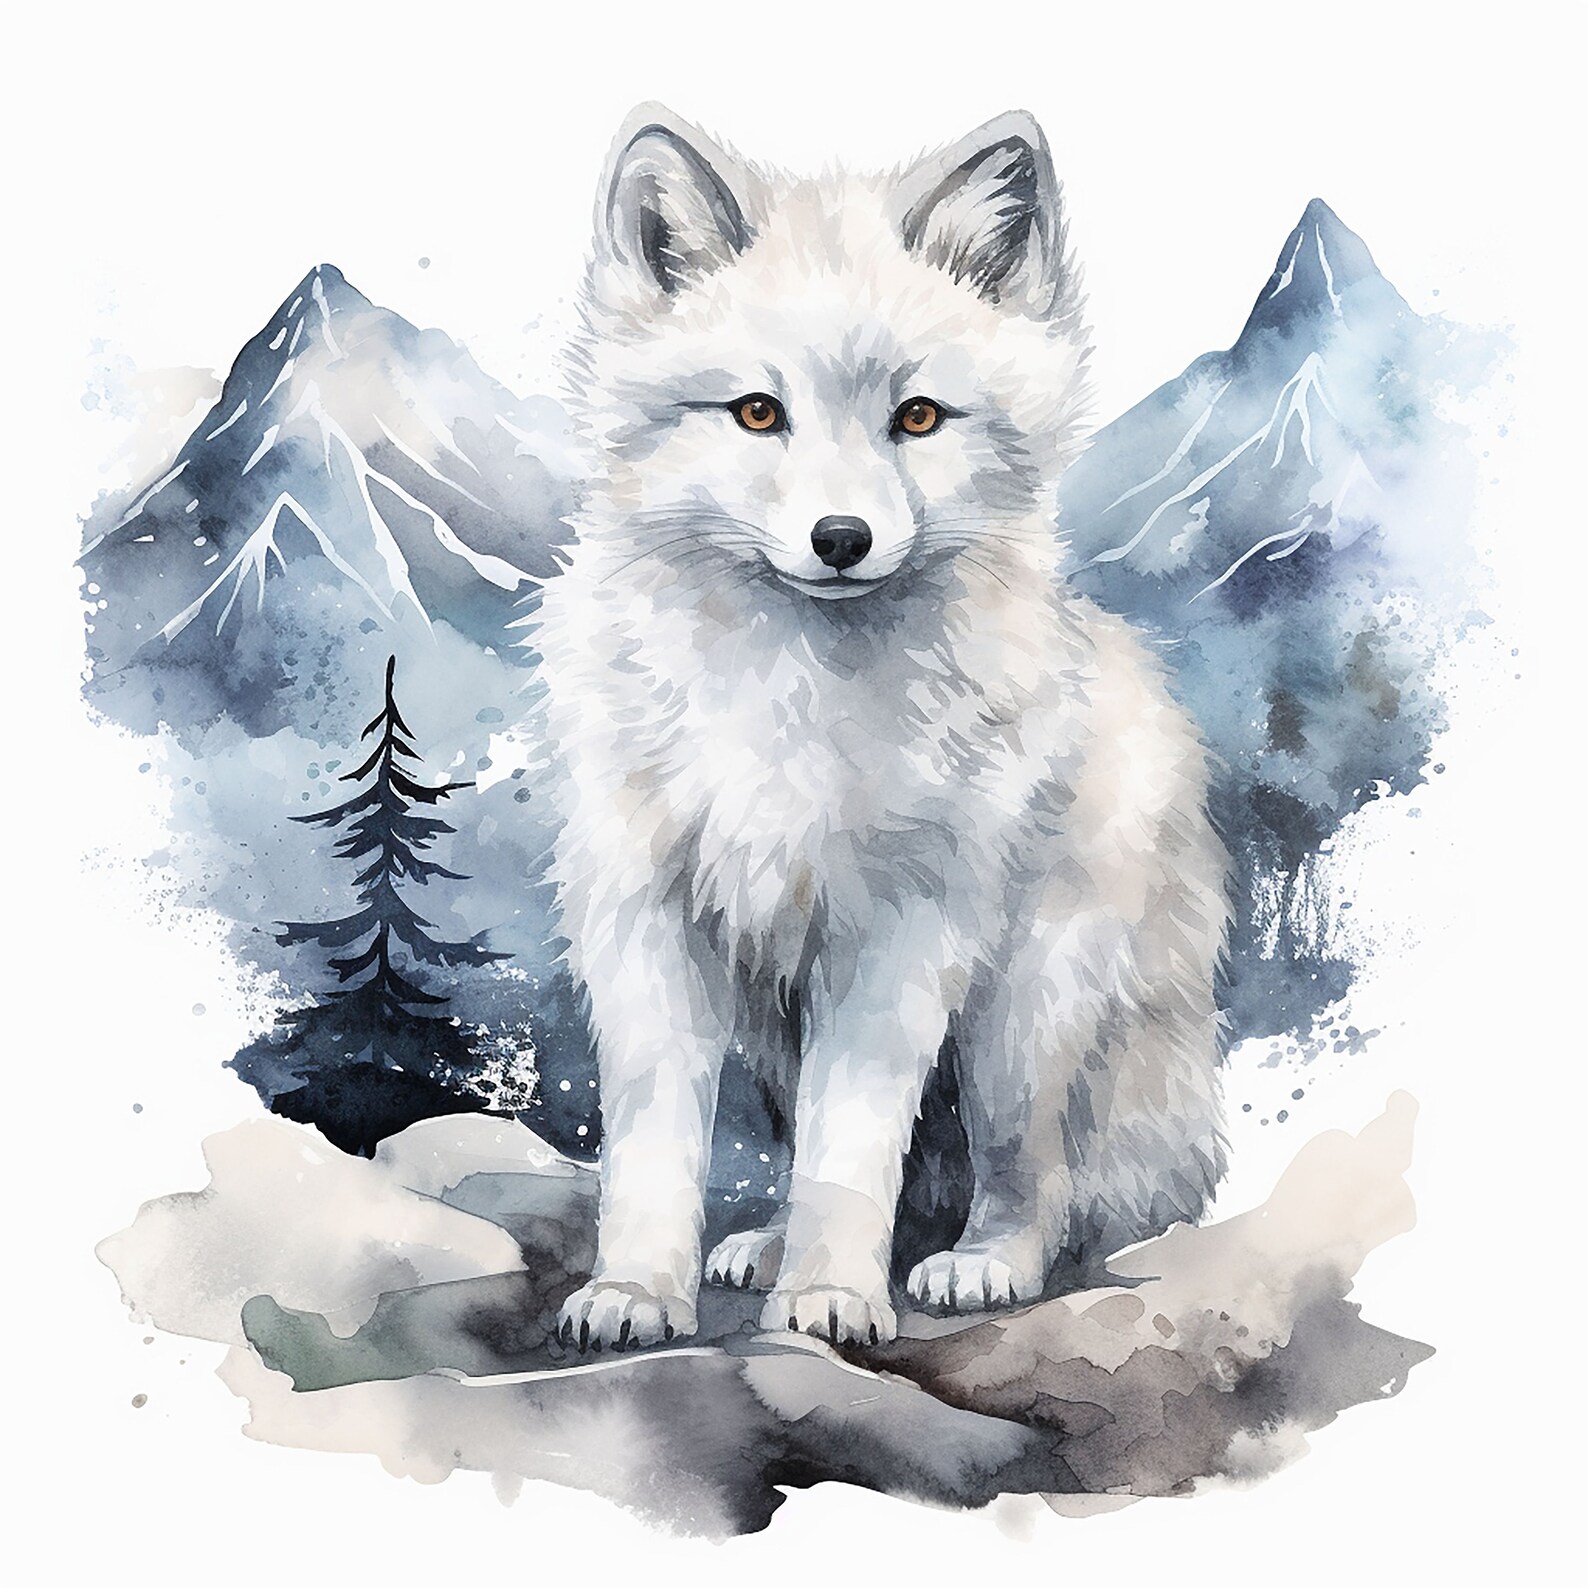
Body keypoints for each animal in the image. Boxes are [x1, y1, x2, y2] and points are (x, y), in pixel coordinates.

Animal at [529, 104, 1230, 1350]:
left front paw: (830, 1297)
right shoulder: (647, 920)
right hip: (775, 1023)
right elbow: (656, 1144)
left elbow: (853, 1144)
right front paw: (636, 1291)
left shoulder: (898, 937)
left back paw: (977, 1264)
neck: (789, 699)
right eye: (758, 412)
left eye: (917, 417)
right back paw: (763, 1247)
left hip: (1015, 1024)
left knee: (1034, 1182)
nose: (842, 539)